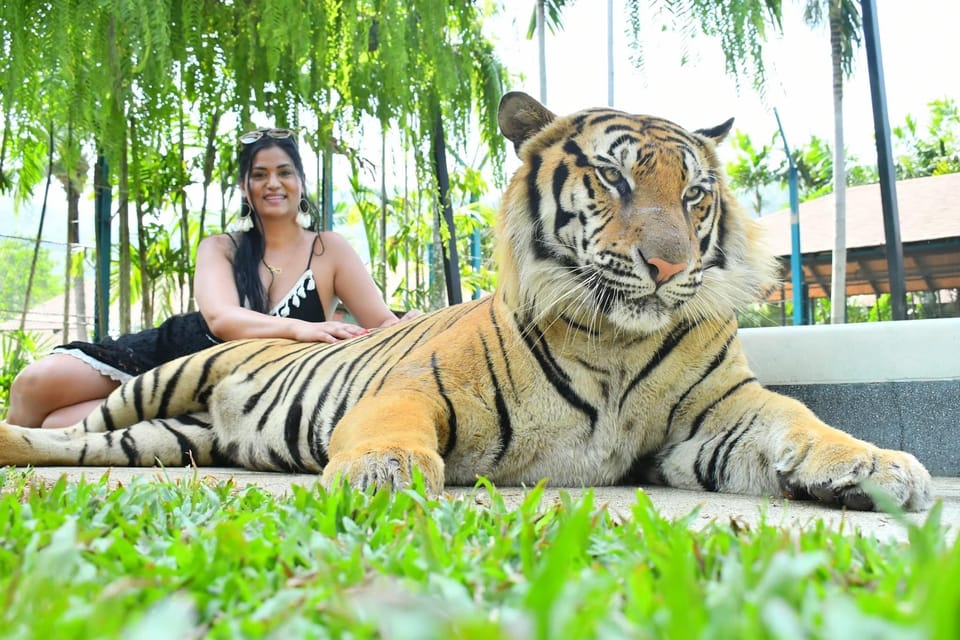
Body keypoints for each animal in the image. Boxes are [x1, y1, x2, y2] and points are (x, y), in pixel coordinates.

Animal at [0, 91, 932, 511]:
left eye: (697, 195)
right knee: (74, 423)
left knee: (82, 447)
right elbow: (392, 426)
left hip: (167, 439)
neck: (619, 341)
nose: (669, 268)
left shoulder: (715, 417)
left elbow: (800, 421)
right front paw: (379, 473)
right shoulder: (418, 381)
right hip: (160, 382)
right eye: (615, 178)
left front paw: (878, 467)